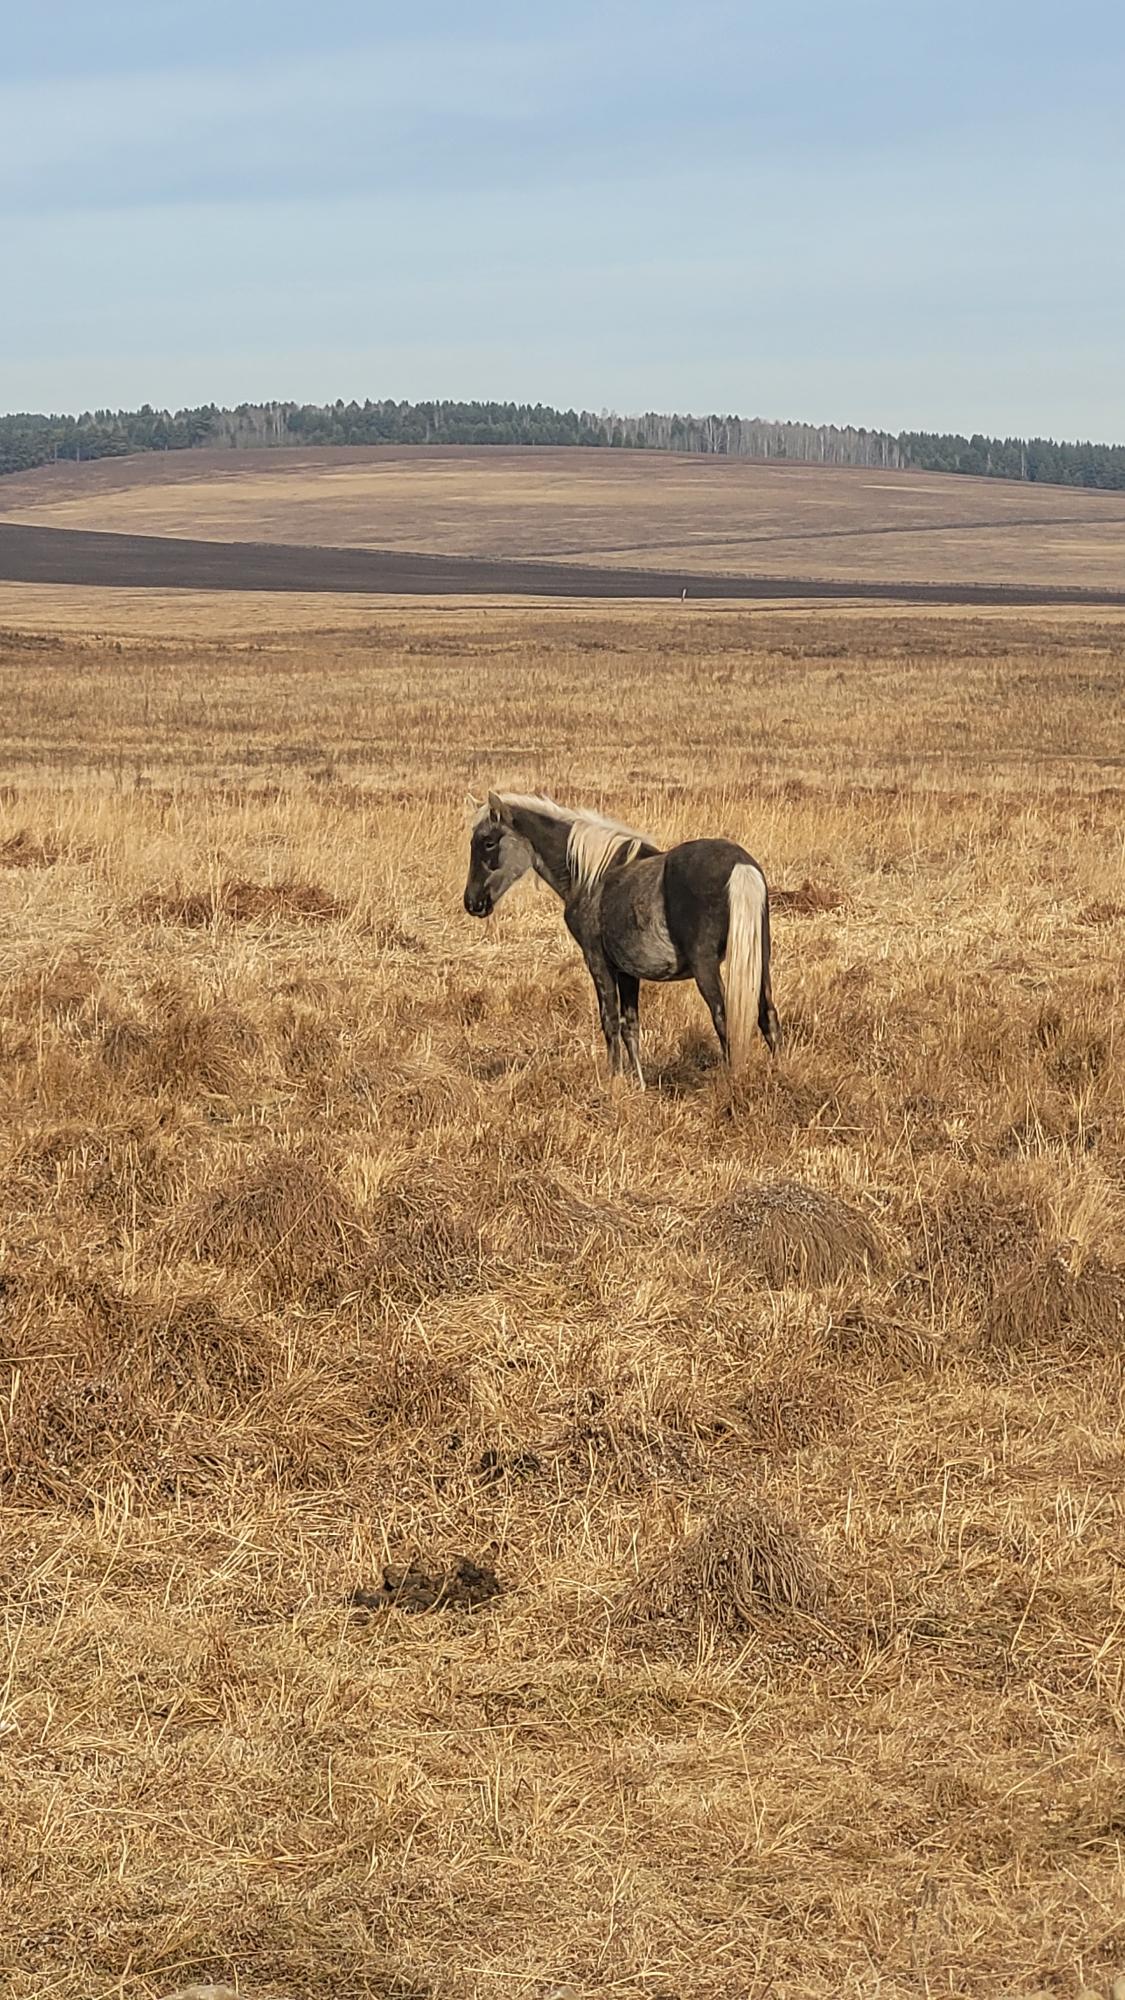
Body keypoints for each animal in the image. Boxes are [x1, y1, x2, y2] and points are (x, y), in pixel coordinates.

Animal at [460, 788, 776, 1088]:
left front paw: (614, 1080)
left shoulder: (598, 962)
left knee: (724, 1018)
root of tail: (739, 865)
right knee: (767, 1016)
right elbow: (630, 1026)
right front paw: (638, 1083)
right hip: (759, 961)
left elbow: (610, 1021)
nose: (472, 903)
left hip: (706, 967)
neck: (591, 876)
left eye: (488, 842)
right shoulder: (627, 972)